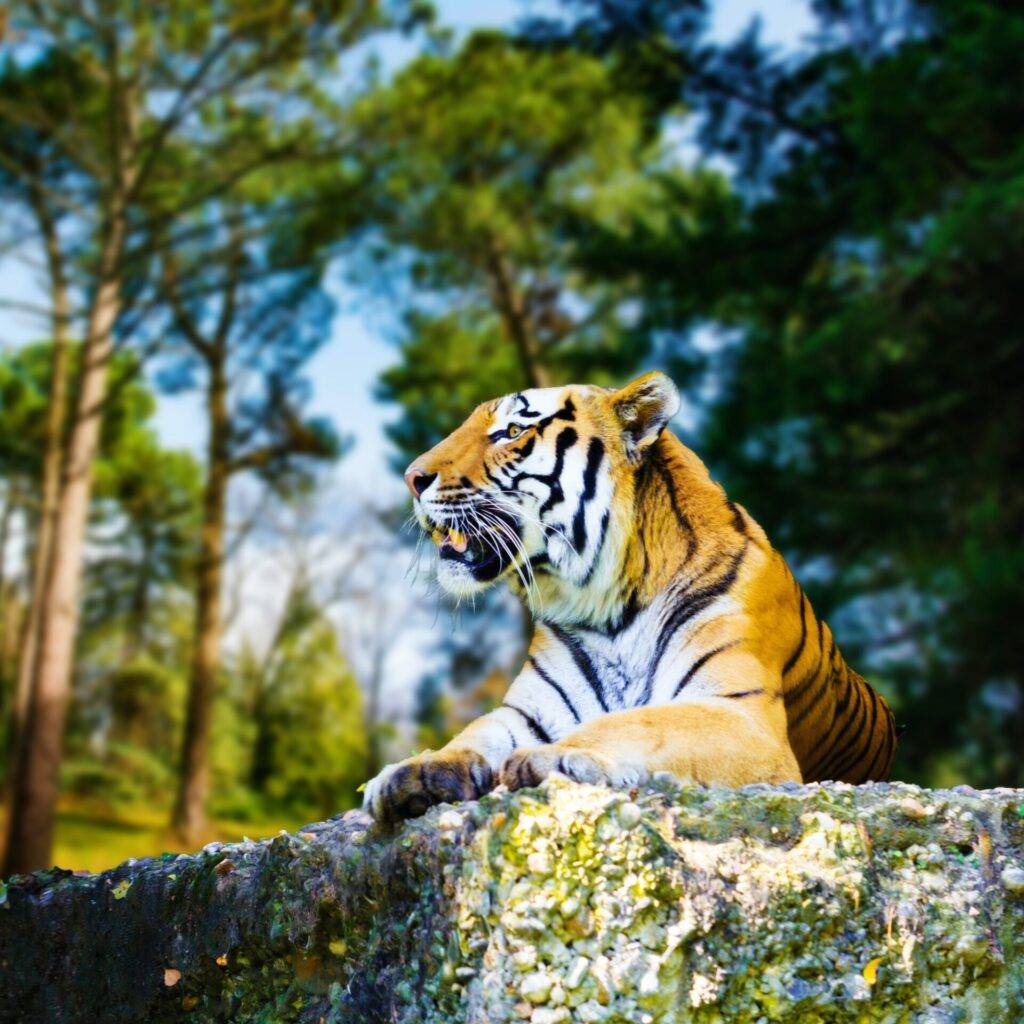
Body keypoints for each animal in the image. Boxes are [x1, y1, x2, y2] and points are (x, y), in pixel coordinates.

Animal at [362, 372, 897, 822]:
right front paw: (412, 771)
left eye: (512, 431)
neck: (608, 610)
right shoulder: (527, 711)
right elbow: (476, 731)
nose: (411, 478)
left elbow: (639, 723)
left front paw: (553, 757)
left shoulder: (741, 716)